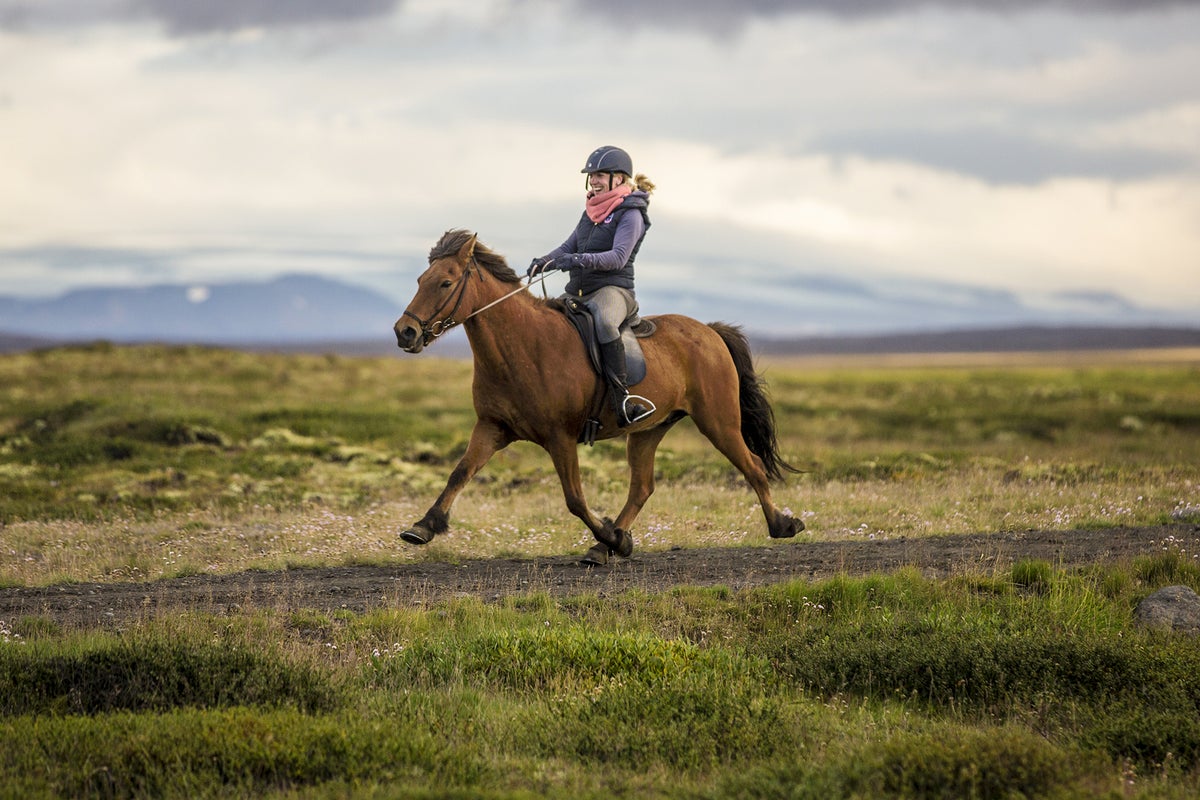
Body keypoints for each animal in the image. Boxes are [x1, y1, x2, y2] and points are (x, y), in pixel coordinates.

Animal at [393, 229, 803, 565]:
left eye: (445, 282)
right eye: (421, 279)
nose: (404, 332)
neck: (523, 346)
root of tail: (710, 331)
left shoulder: (560, 437)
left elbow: (574, 498)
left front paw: (609, 534)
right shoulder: (492, 428)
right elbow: (459, 473)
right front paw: (424, 526)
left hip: (719, 422)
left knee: (752, 466)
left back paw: (782, 524)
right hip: (648, 431)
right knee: (642, 487)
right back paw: (607, 546)